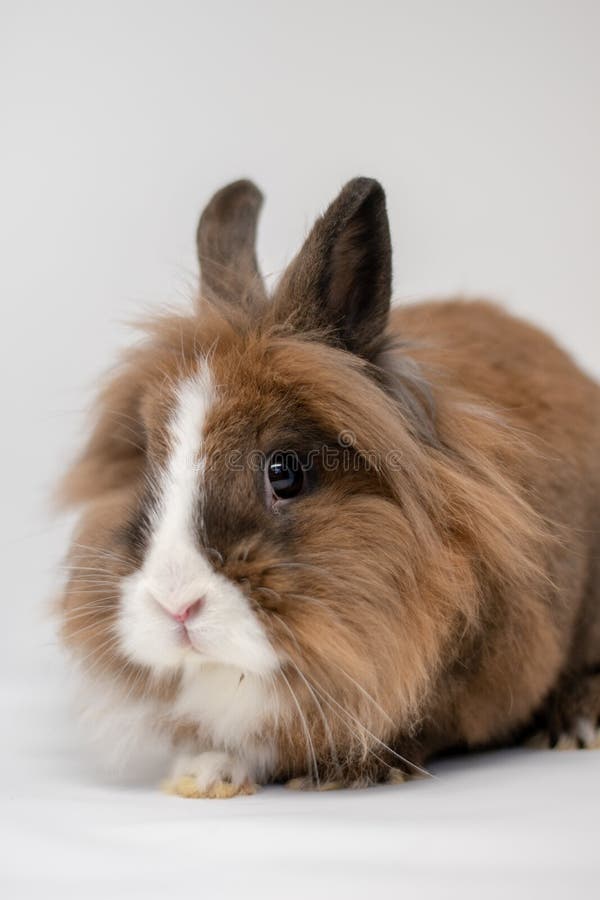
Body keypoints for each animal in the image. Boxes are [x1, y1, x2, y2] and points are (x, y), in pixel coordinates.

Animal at [57, 177, 600, 797]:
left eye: (285, 471)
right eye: (148, 461)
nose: (177, 604)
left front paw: (357, 771)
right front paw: (205, 772)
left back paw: (576, 726)